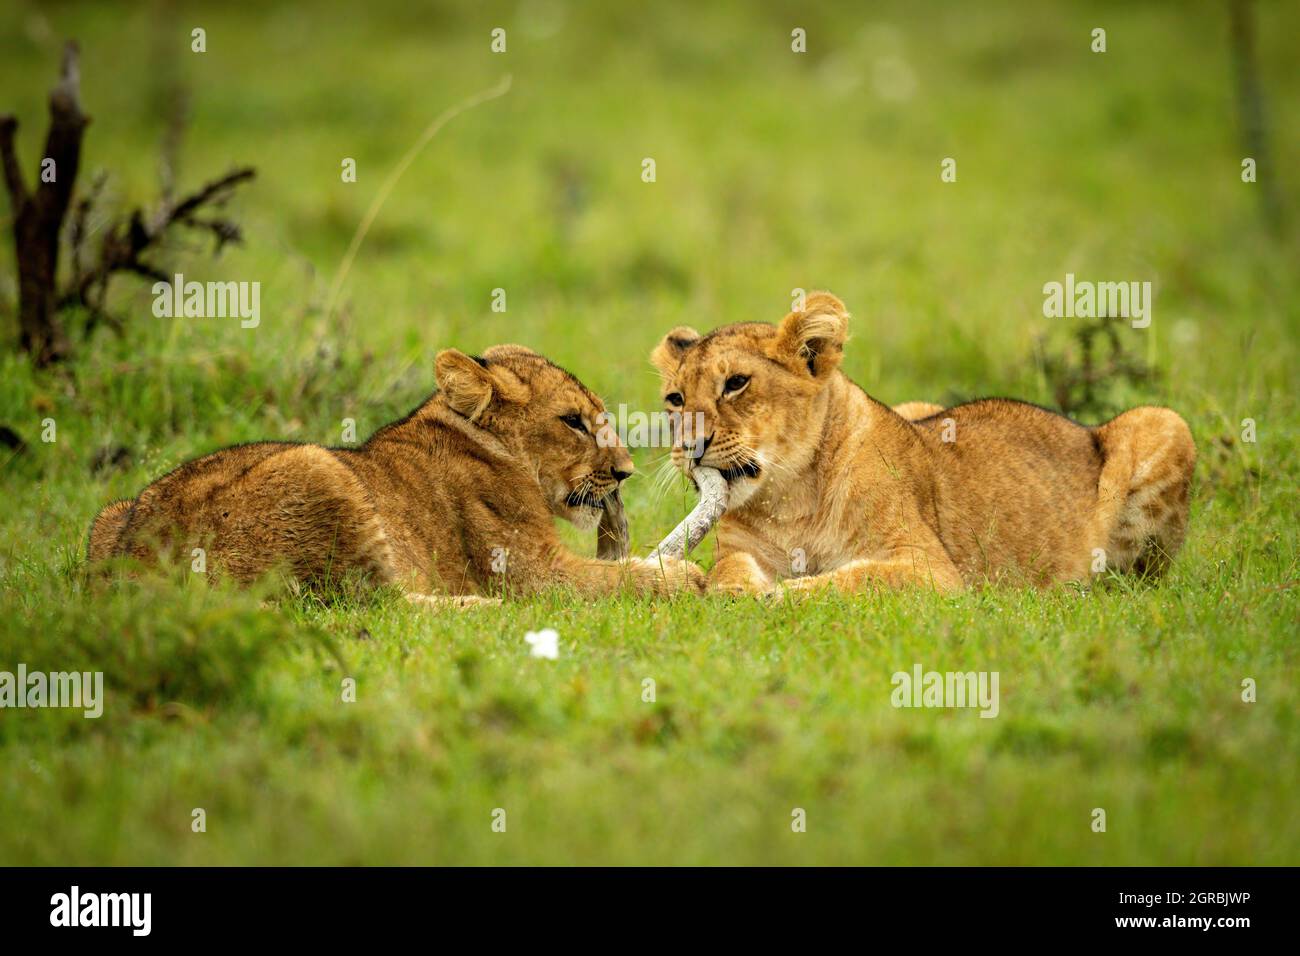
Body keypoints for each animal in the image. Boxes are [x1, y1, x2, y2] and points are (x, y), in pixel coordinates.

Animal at [88, 344, 703, 603]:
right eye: (573, 421)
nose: (625, 473)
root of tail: (142, 565)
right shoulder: (530, 573)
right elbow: (613, 579)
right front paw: (684, 578)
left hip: (109, 515)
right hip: (316, 465)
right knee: (379, 605)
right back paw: (478, 611)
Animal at [651, 292, 1195, 594]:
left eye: (736, 384)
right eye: (675, 399)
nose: (689, 449)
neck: (789, 501)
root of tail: (1082, 428)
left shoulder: (931, 569)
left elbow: (858, 580)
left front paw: (785, 596)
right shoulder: (744, 551)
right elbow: (728, 573)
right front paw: (734, 592)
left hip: (1164, 423)